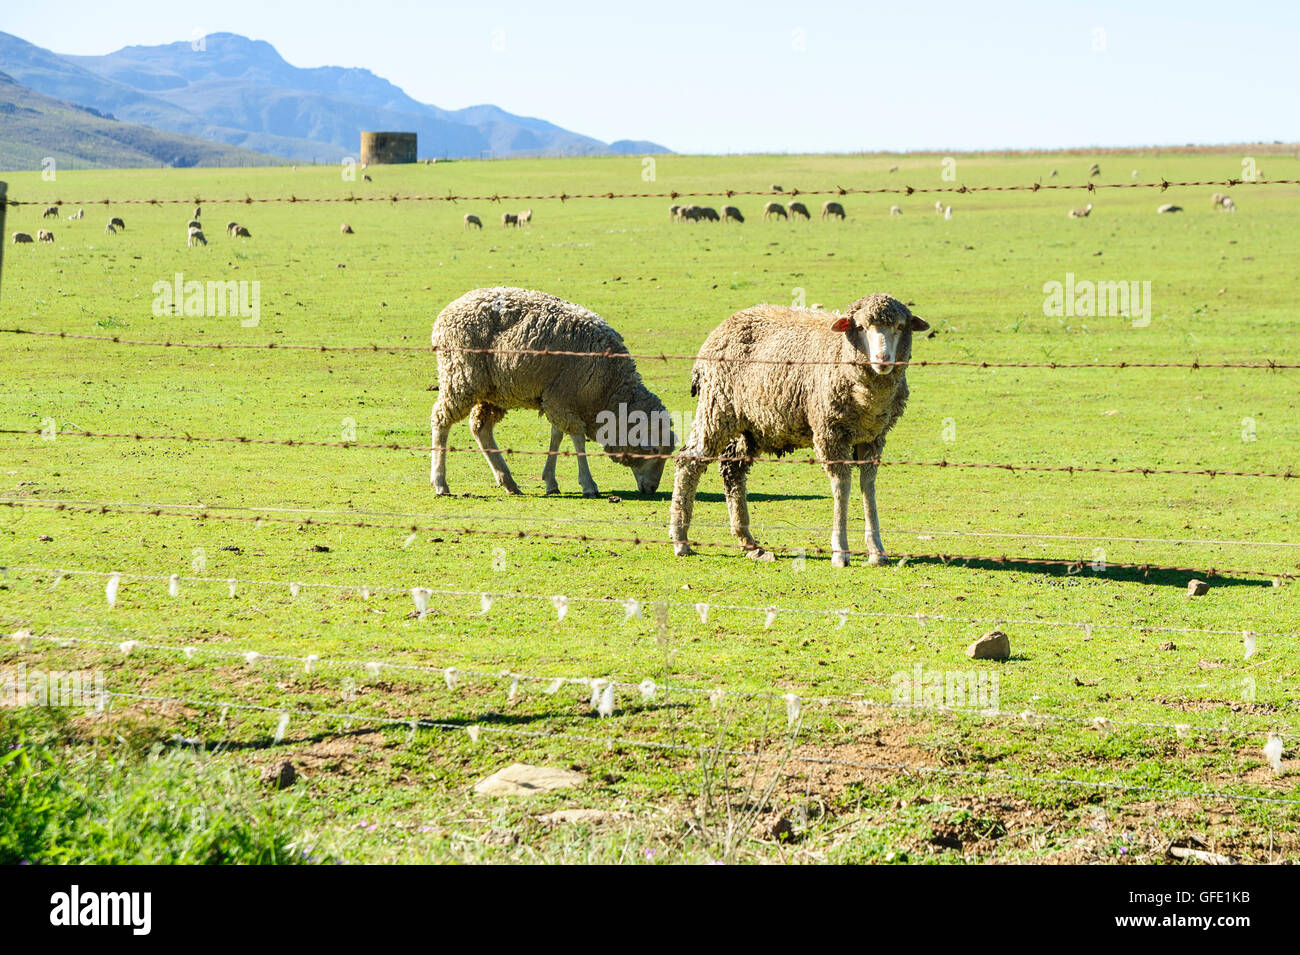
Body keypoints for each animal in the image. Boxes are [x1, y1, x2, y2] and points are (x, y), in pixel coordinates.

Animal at [430, 287, 675, 497]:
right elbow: (577, 437)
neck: (609, 389)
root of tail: (446, 312)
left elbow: (556, 436)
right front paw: (588, 484)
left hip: (494, 391)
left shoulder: (559, 397)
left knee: (481, 428)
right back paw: (441, 483)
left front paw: (551, 481)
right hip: (460, 377)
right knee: (441, 420)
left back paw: (508, 481)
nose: (652, 488)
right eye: (655, 451)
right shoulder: (562, 397)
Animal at [669, 294, 928, 567]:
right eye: (860, 327)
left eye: (899, 326)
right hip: (717, 407)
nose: (883, 359)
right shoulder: (829, 432)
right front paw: (840, 550)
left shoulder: (874, 436)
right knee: (689, 462)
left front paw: (877, 550)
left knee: (732, 469)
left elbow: (867, 485)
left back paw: (750, 543)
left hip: (751, 425)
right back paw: (681, 540)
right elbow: (841, 485)